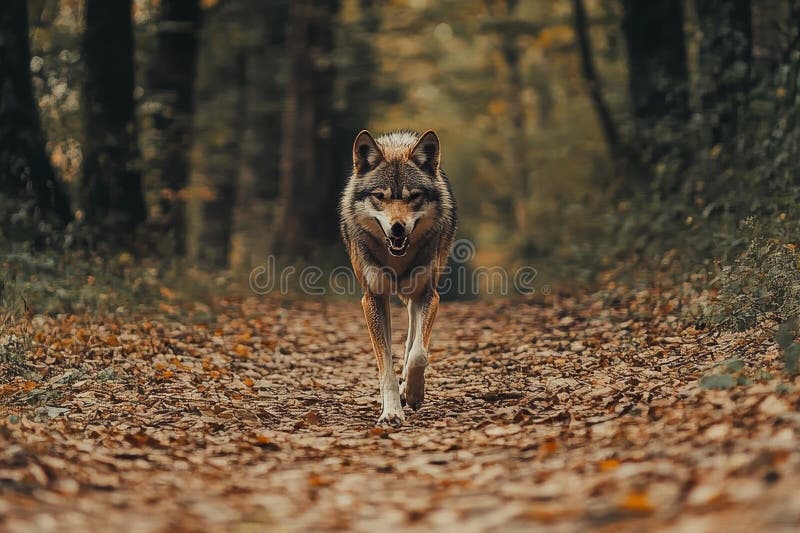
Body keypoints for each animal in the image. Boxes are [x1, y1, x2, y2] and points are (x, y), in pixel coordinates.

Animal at [339, 129, 457, 426]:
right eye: (380, 196)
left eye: (413, 196)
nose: (398, 228)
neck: (397, 257)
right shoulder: (373, 298)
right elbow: (386, 369)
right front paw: (391, 411)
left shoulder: (429, 294)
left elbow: (419, 354)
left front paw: (413, 393)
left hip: (416, 296)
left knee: (411, 340)